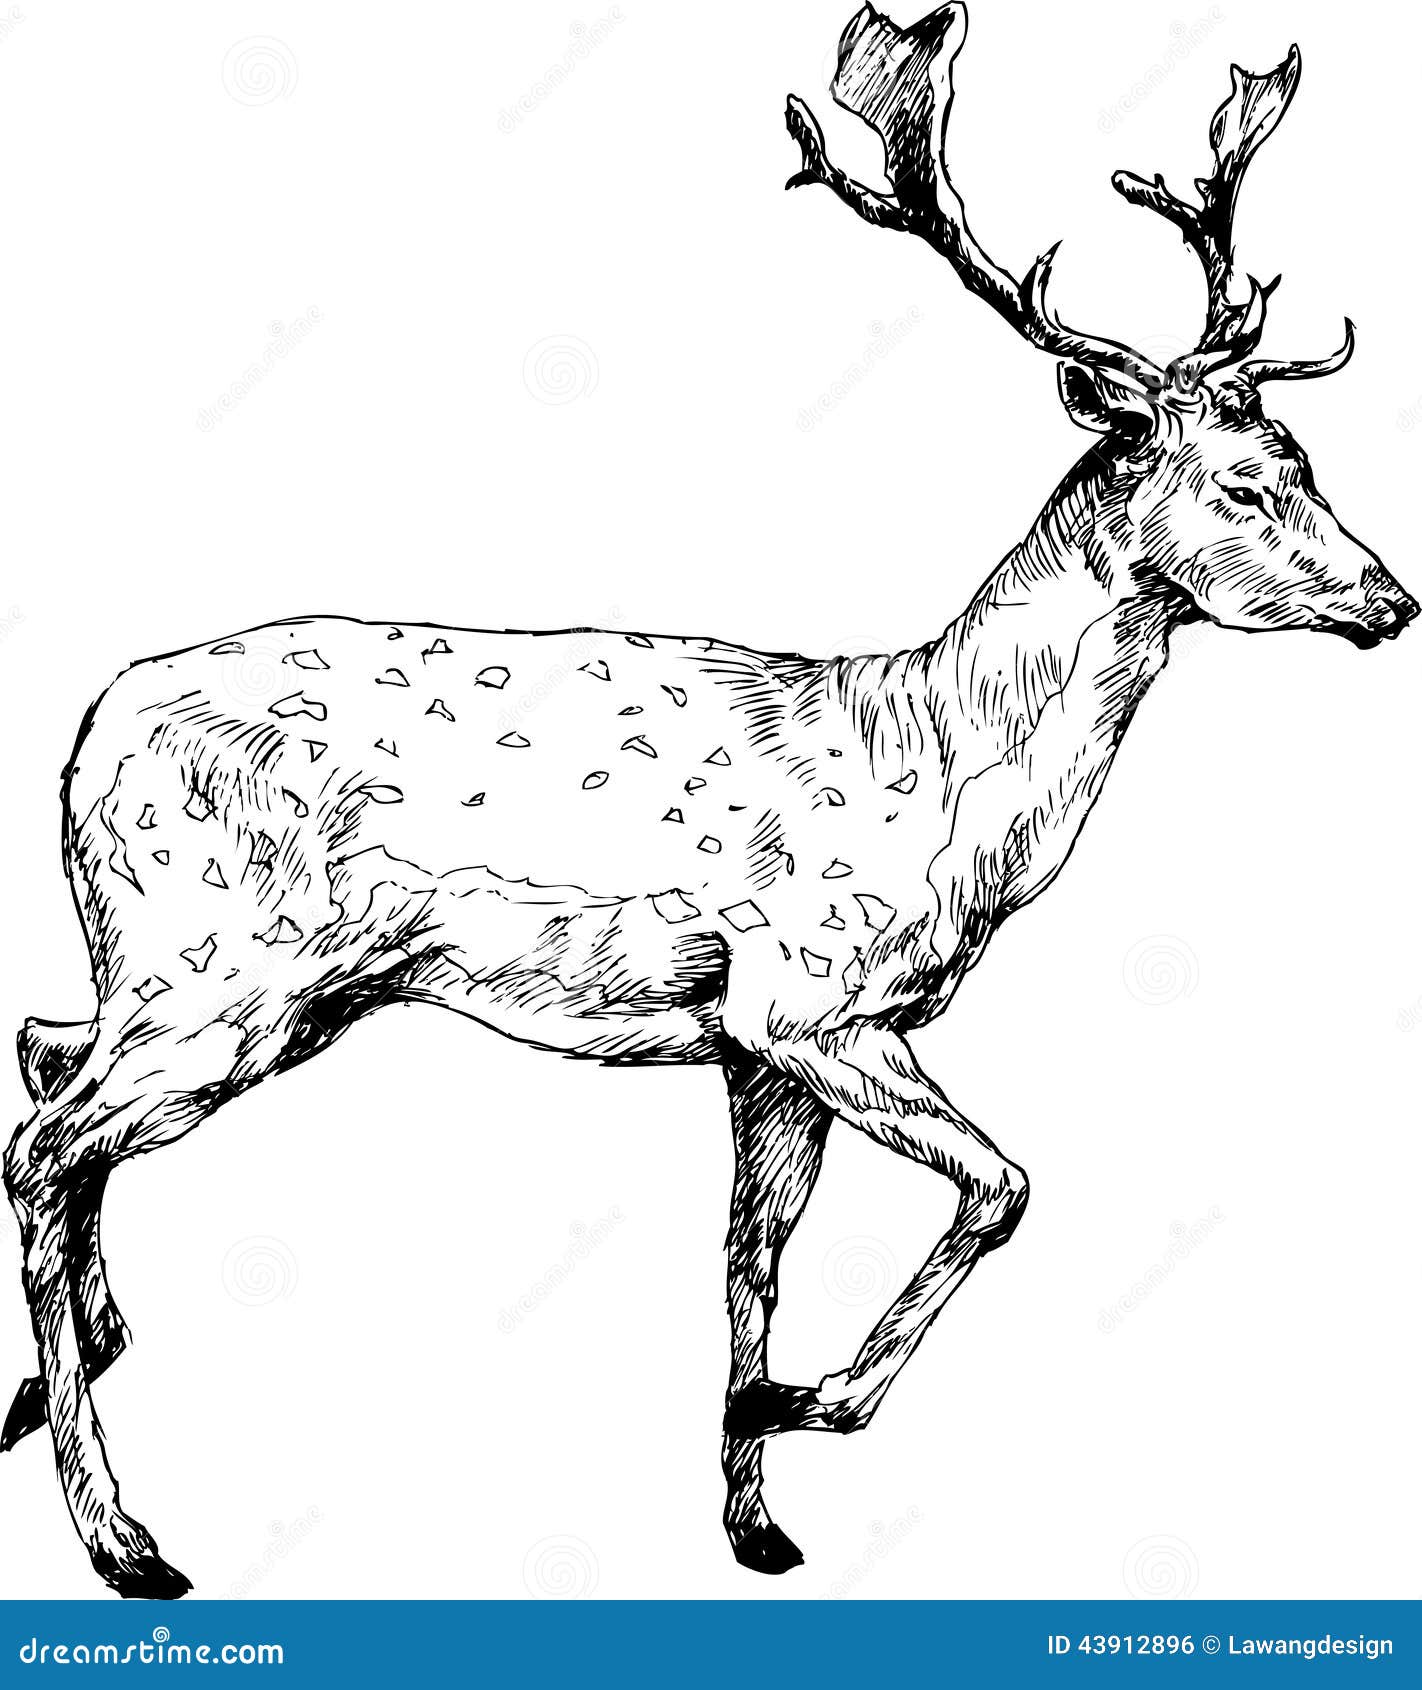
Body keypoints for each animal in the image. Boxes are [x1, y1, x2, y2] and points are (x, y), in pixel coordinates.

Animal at [2, 1, 1415, 1599]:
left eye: (1307, 461)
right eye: (1242, 484)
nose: (1391, 600)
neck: (940, 767)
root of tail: (84, 733)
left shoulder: (752, 1046)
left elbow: (751, 1258)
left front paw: (754, 1507)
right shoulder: (806, 998)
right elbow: (1002, 1183)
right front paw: (811, 1404)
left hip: (239, 985)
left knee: (43, 1052)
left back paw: (65, 1379)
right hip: (220, 971)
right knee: (45, 1145)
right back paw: (123, 1536)